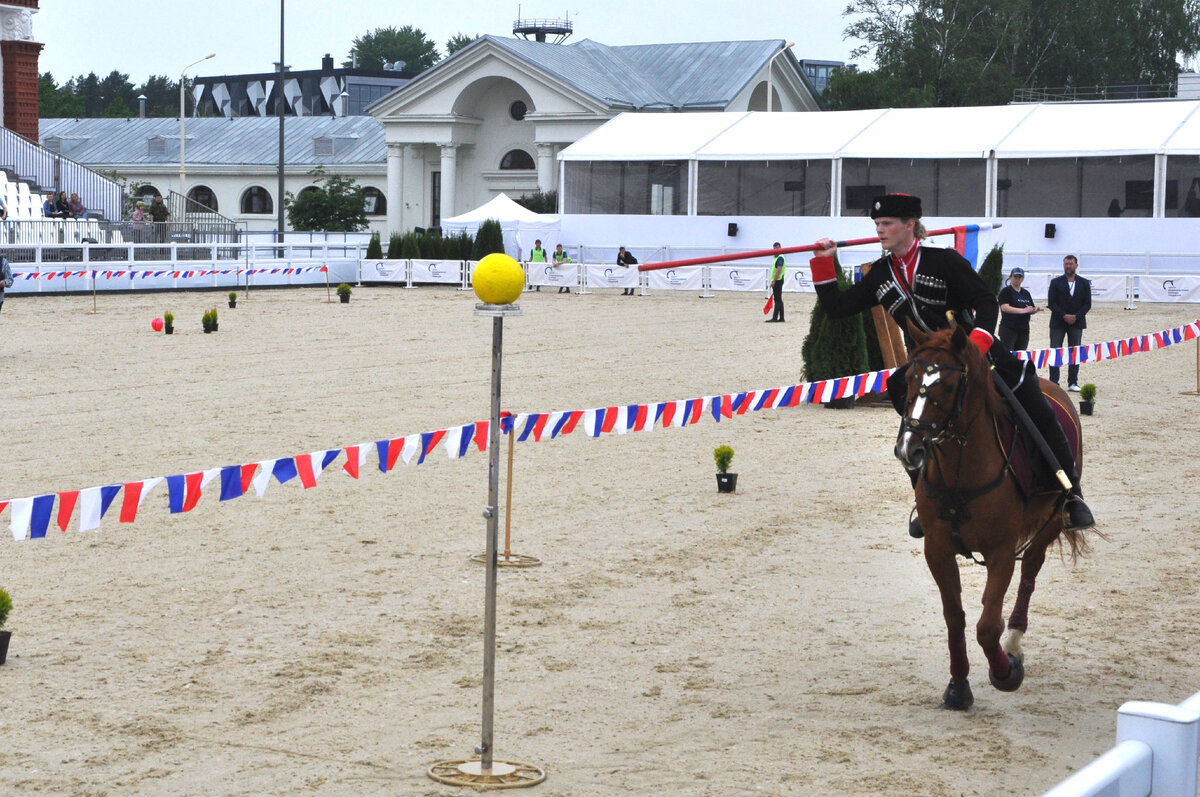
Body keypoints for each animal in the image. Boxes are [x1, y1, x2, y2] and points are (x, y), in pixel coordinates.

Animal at [902, 324, 1089, 710]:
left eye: (947, 385)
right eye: (910, 378)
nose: (909, 448)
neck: (962, 470)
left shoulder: (1002, 551)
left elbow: (986, 628)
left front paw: (1005, 672)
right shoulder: (938, 550)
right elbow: (955, 619)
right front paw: (958, 686)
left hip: (1049, 523)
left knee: (1029, 571)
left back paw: (1014, 637)